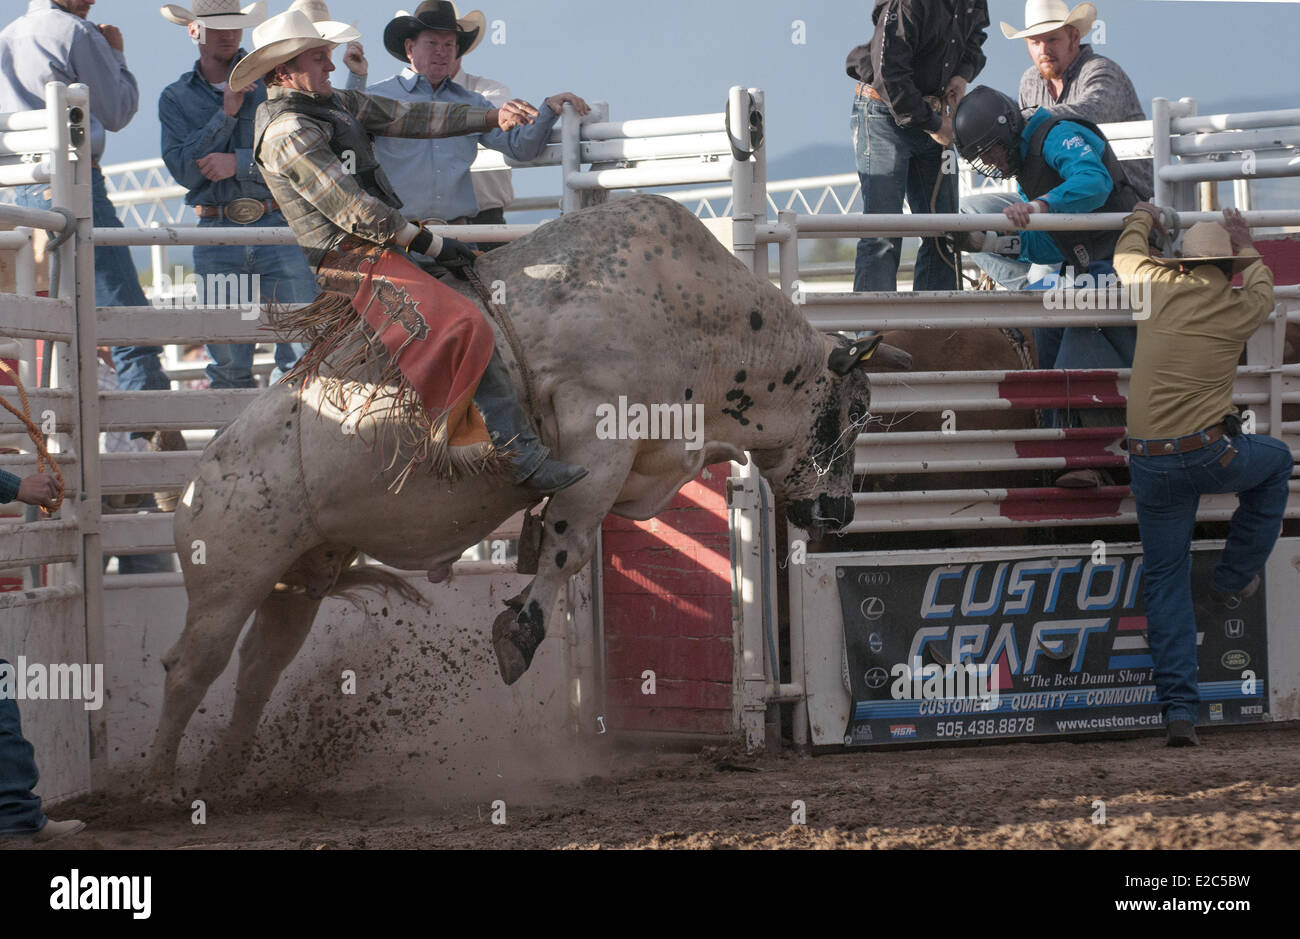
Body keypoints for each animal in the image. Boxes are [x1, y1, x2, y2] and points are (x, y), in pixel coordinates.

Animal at [146, 194, 910, 792]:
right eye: (852, 411)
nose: (839, 512)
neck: (692, 312)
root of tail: (196, 479)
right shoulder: (597, 435)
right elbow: (568, 549)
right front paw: (517, 634)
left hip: (301, 574)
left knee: (258, 667)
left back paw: (228, 774)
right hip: (230, 575)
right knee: (190, 667)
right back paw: (158, 787)